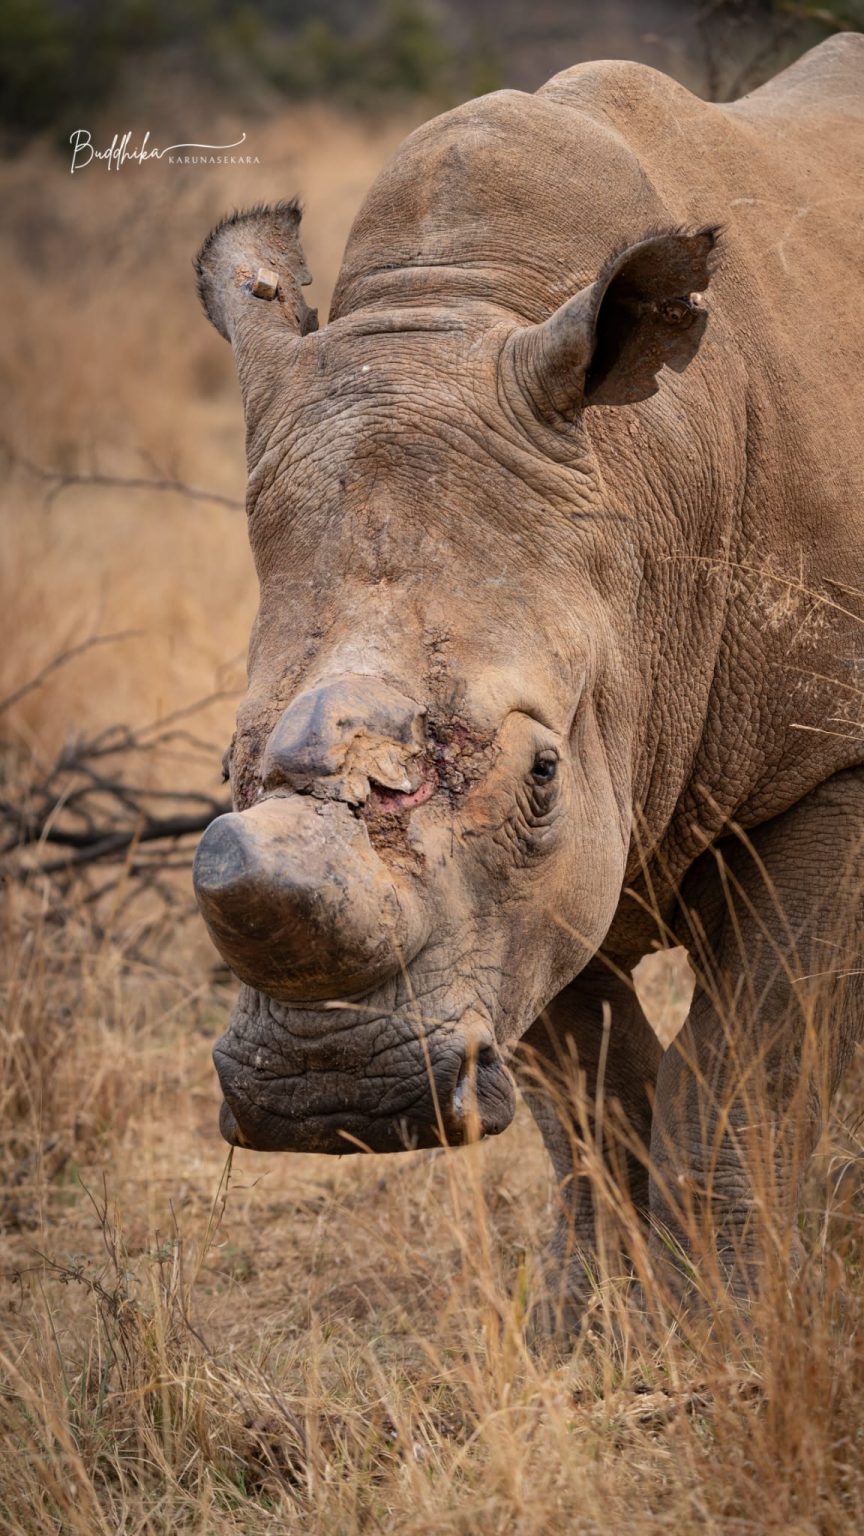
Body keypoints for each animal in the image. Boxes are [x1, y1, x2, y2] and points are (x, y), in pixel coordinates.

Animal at [193, 35, 864, 1327]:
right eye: (224, 768)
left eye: (543, 772)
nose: (328, 1099)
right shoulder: (511, 899)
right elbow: (595, 1101)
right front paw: (592, 1331)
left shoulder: (834, 759)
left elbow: (741, 1077)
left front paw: (733, 1327)